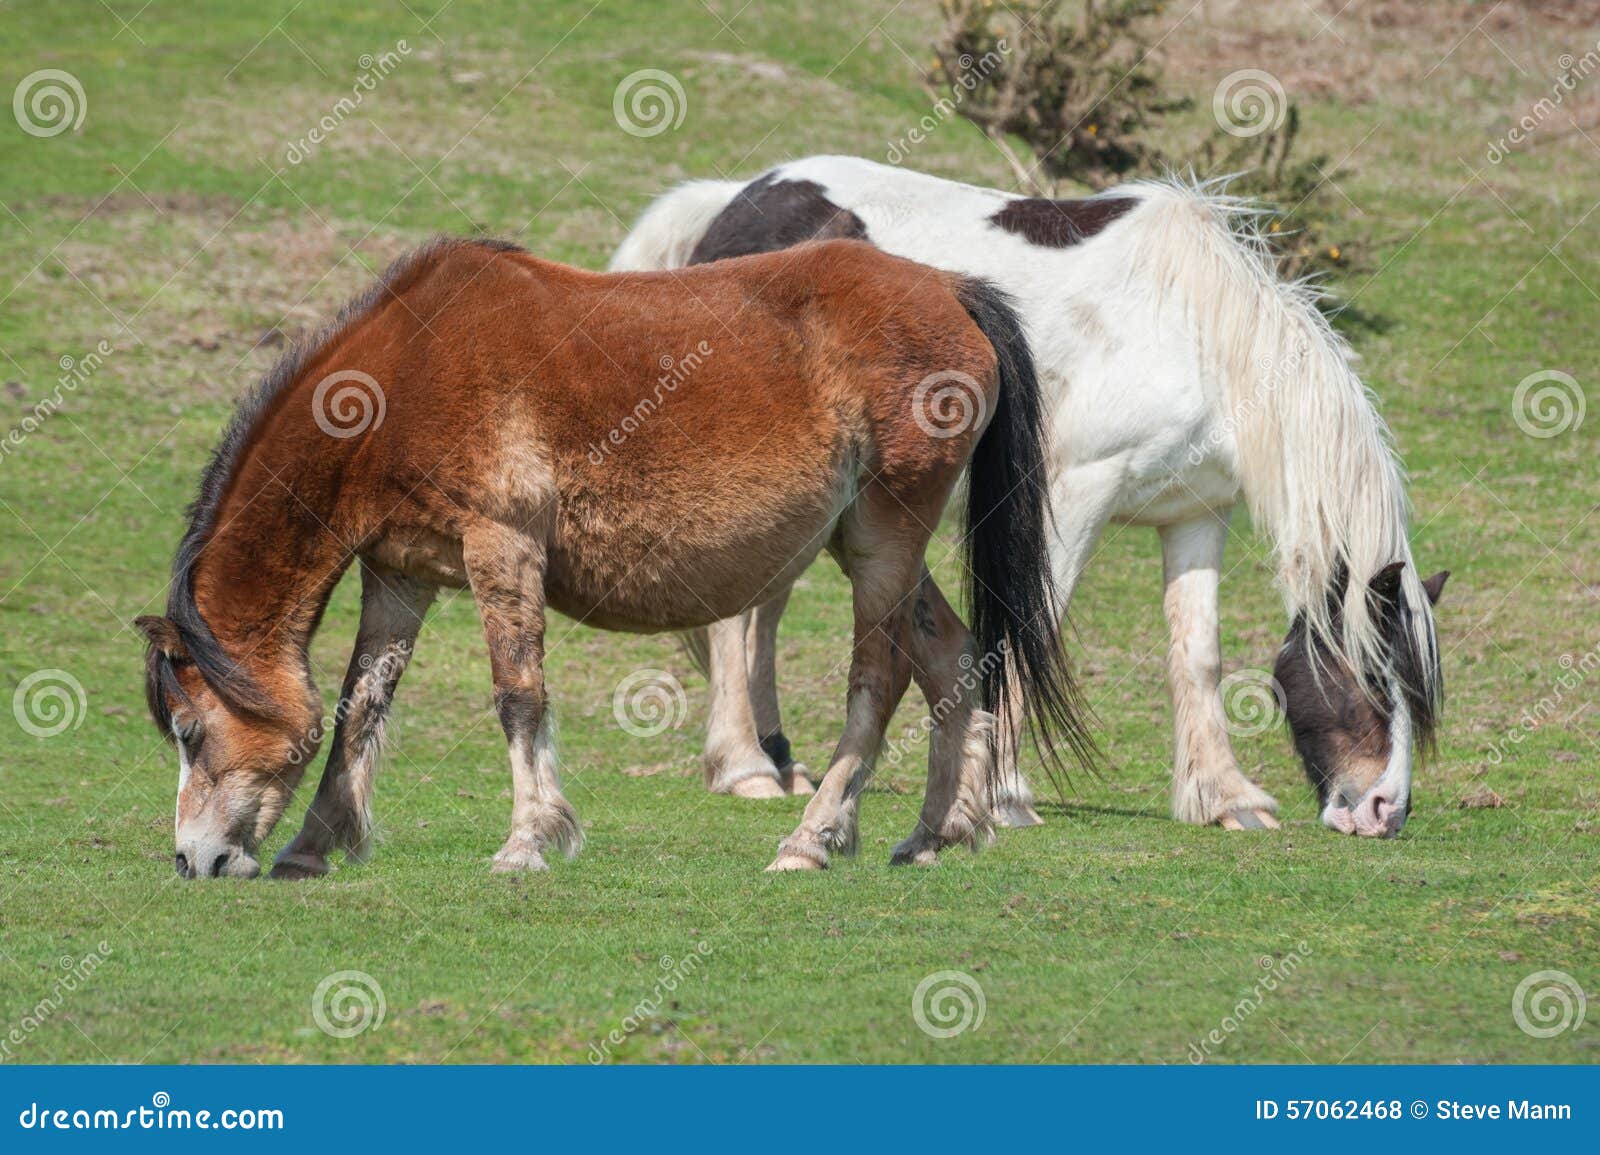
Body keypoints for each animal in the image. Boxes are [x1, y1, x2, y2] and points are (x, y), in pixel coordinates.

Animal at [137, 234, 1093, 879]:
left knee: (881, 675)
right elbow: (359, 705)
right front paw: (314, 844)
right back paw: (938, 831)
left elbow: (518, 697)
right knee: (951, 656)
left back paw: (812, 838)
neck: (402, 376)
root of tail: (950, 290)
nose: (193, 858)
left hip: (886, 538)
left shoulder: (501, 547)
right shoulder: (401, 574)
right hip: (869, 543)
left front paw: (528, 840)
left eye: (189, 730)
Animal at [611, 155, 1447, 838]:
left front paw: (1225, 796)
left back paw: (781, 761)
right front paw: (1002, 791)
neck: (1195, 330)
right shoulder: (1075, 493)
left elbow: (1198, 654)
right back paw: (746, 766)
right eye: (1373, 673)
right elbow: (1027, 625)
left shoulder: (1196, 513)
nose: (1385, 810)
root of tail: (736, 203)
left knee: (765, 609)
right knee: (736, 618)